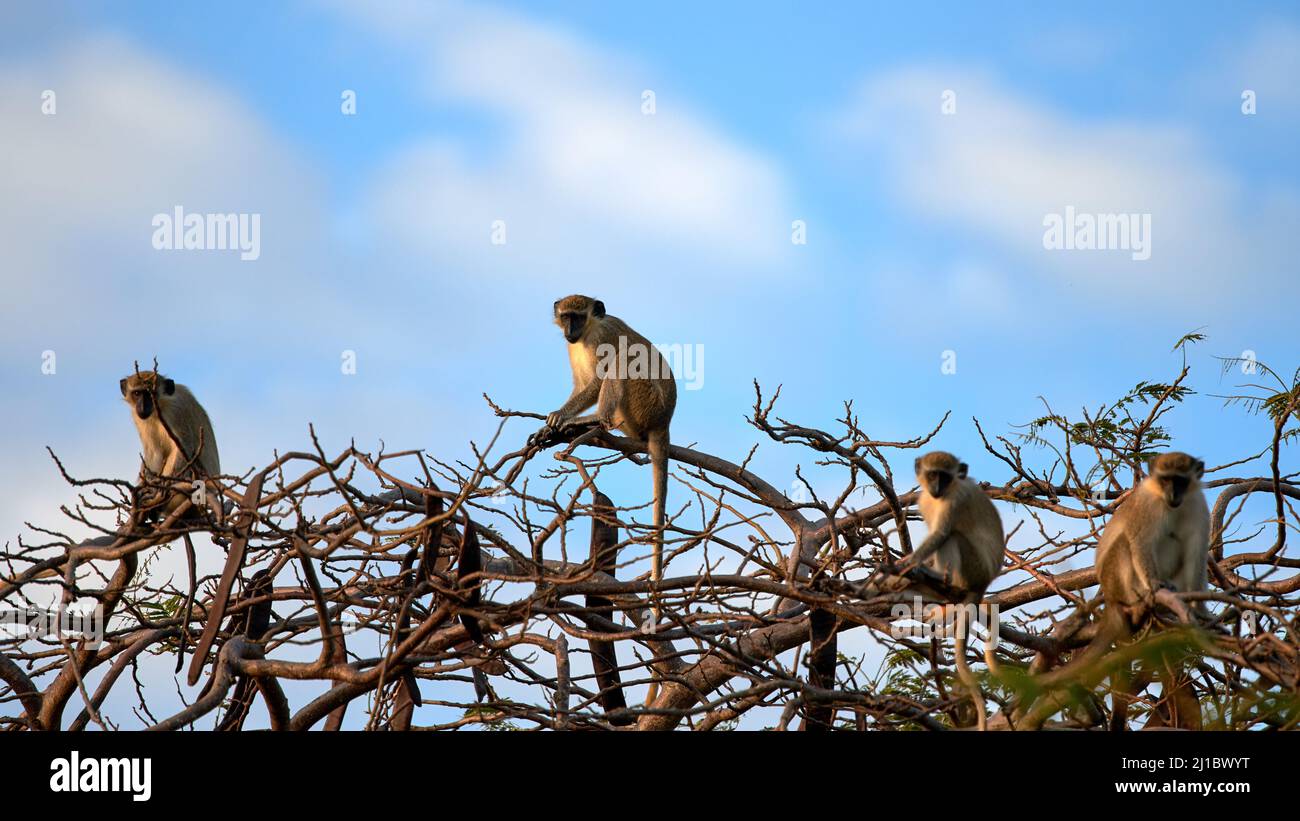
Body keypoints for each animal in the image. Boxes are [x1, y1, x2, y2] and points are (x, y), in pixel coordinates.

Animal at [897, 451, 1005, 731]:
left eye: (945, 477)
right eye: (932, 474)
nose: (937, 488)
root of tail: (986, 581)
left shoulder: (955, 500)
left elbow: (940, 534)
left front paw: (909, 563)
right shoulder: (924, 500)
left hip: (973, 568)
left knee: (952, 536)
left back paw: (945, 580)